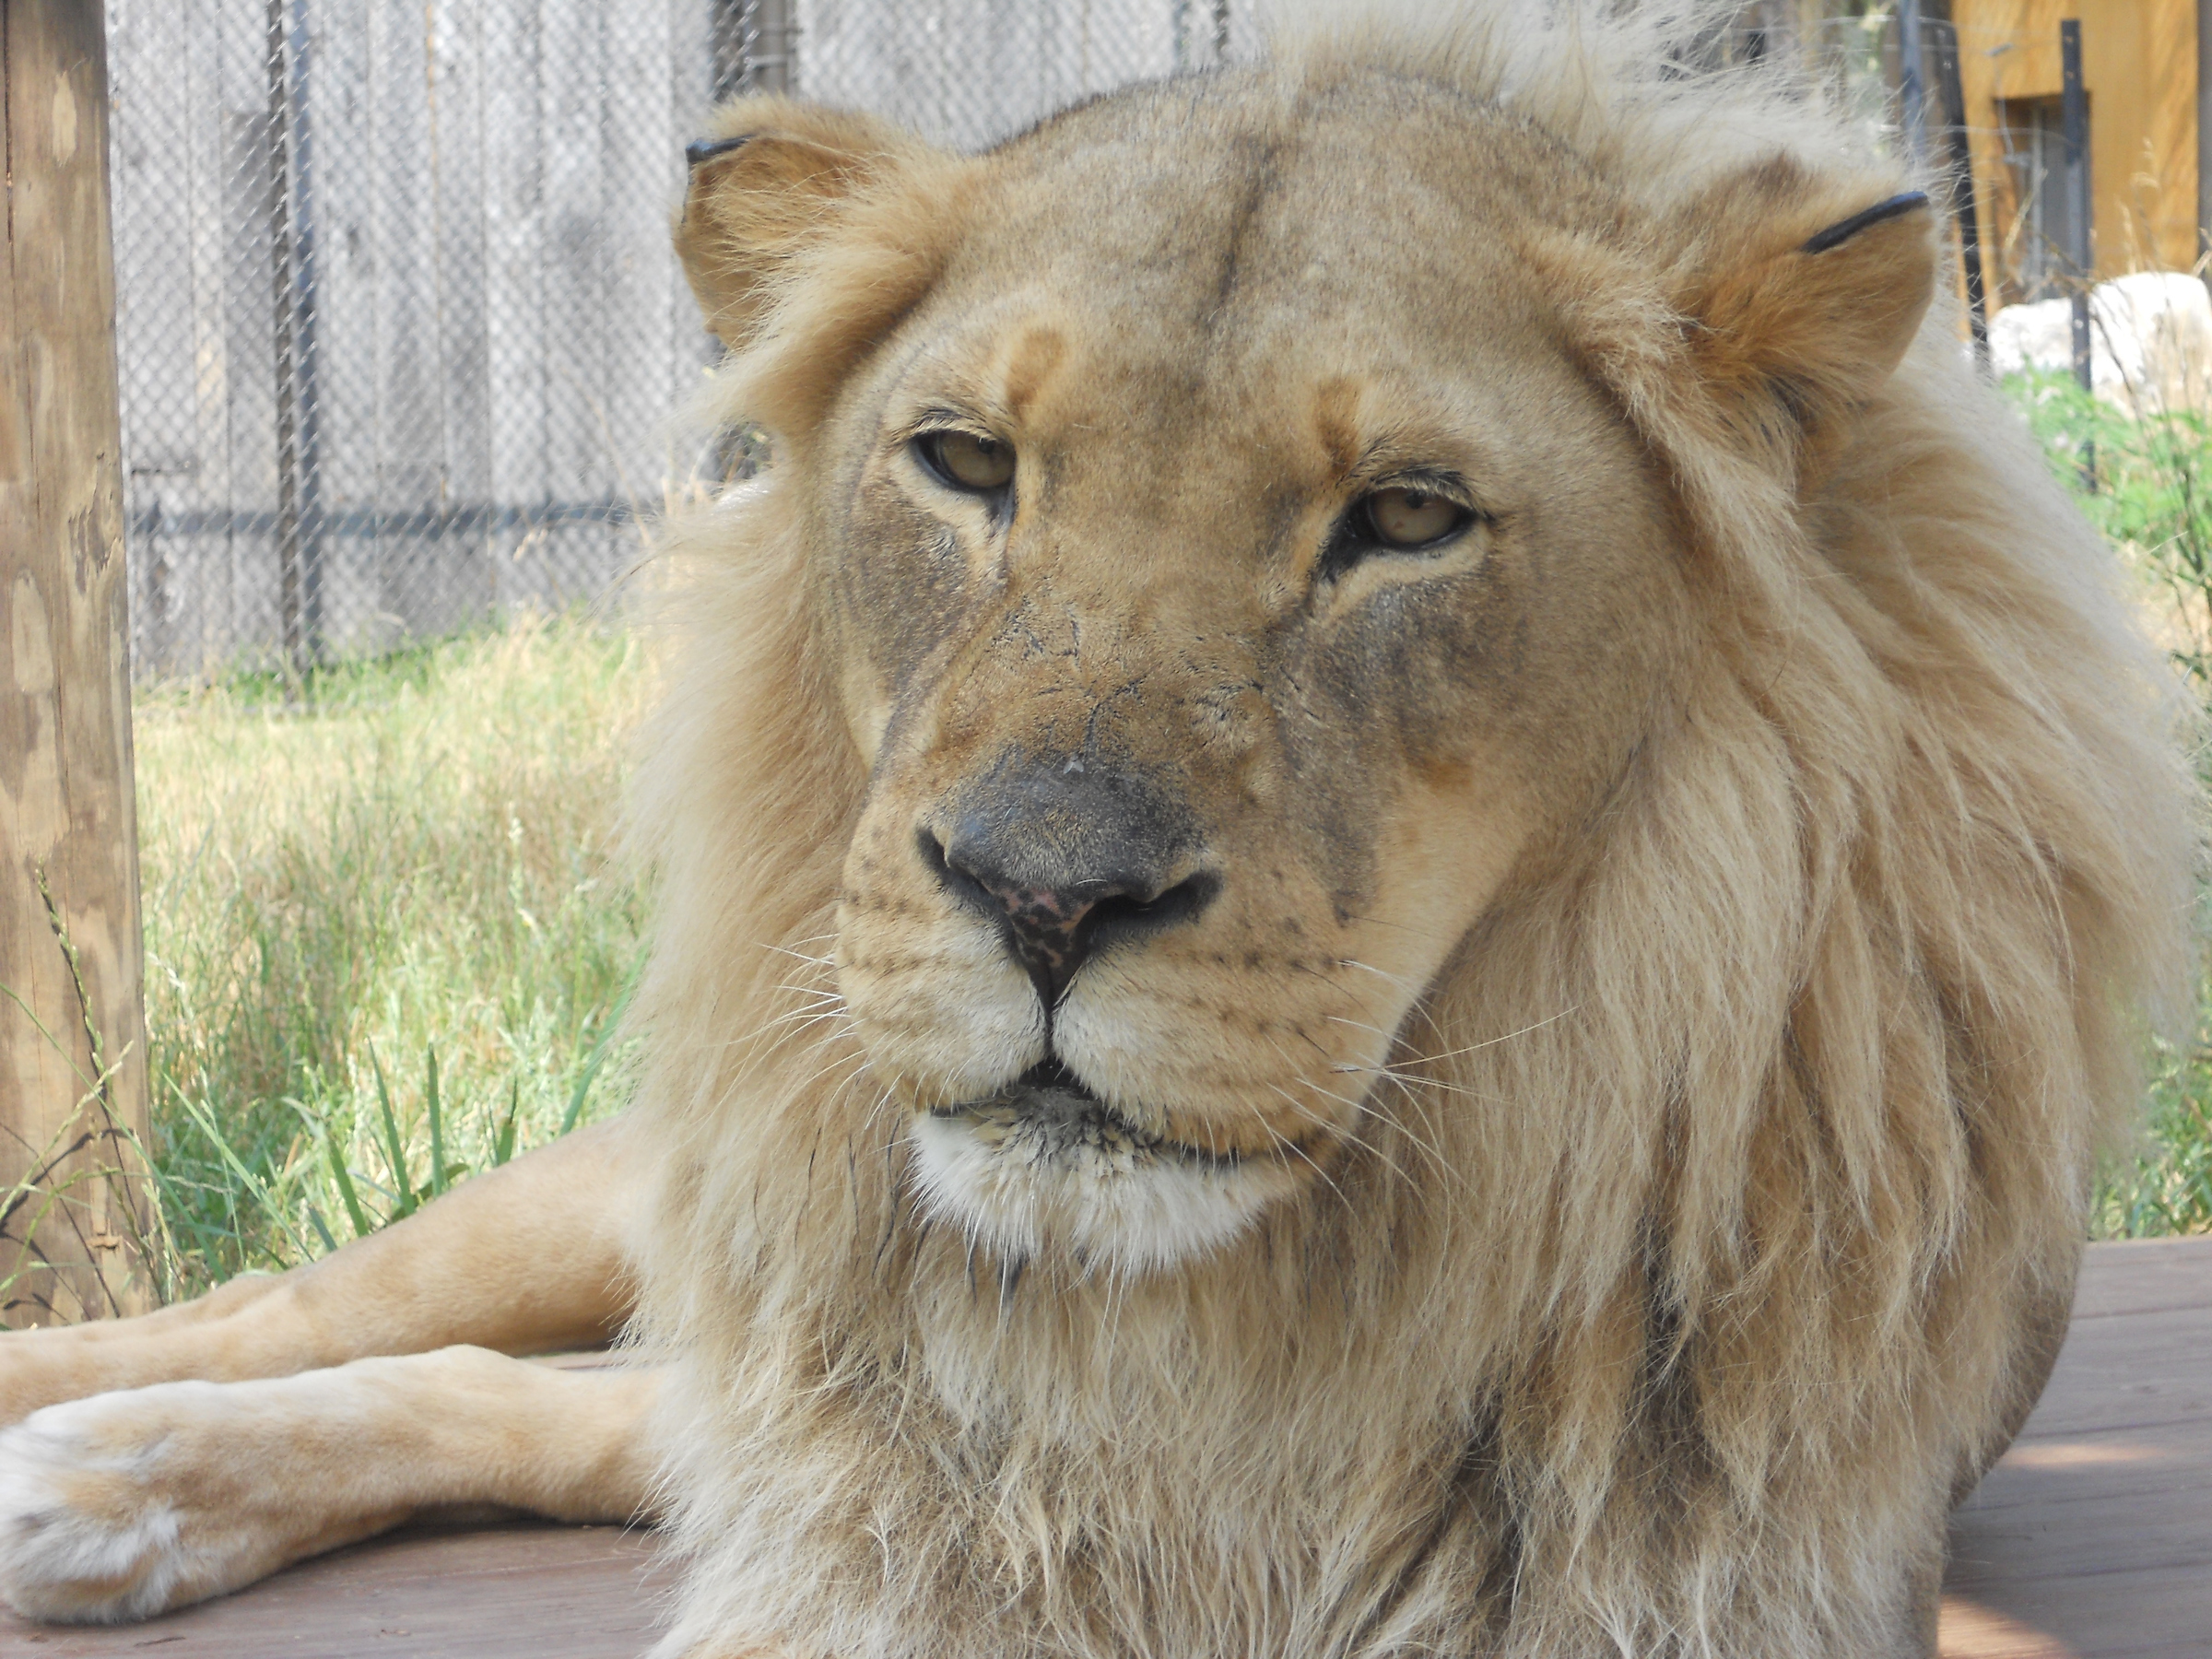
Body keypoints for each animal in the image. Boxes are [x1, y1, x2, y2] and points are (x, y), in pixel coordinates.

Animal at [0, 3, 2194, 1655]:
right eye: (967, 464)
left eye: (1407, 516)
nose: (1041, 899)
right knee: (323, 1313)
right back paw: (81, 1452)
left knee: (559, 1404)